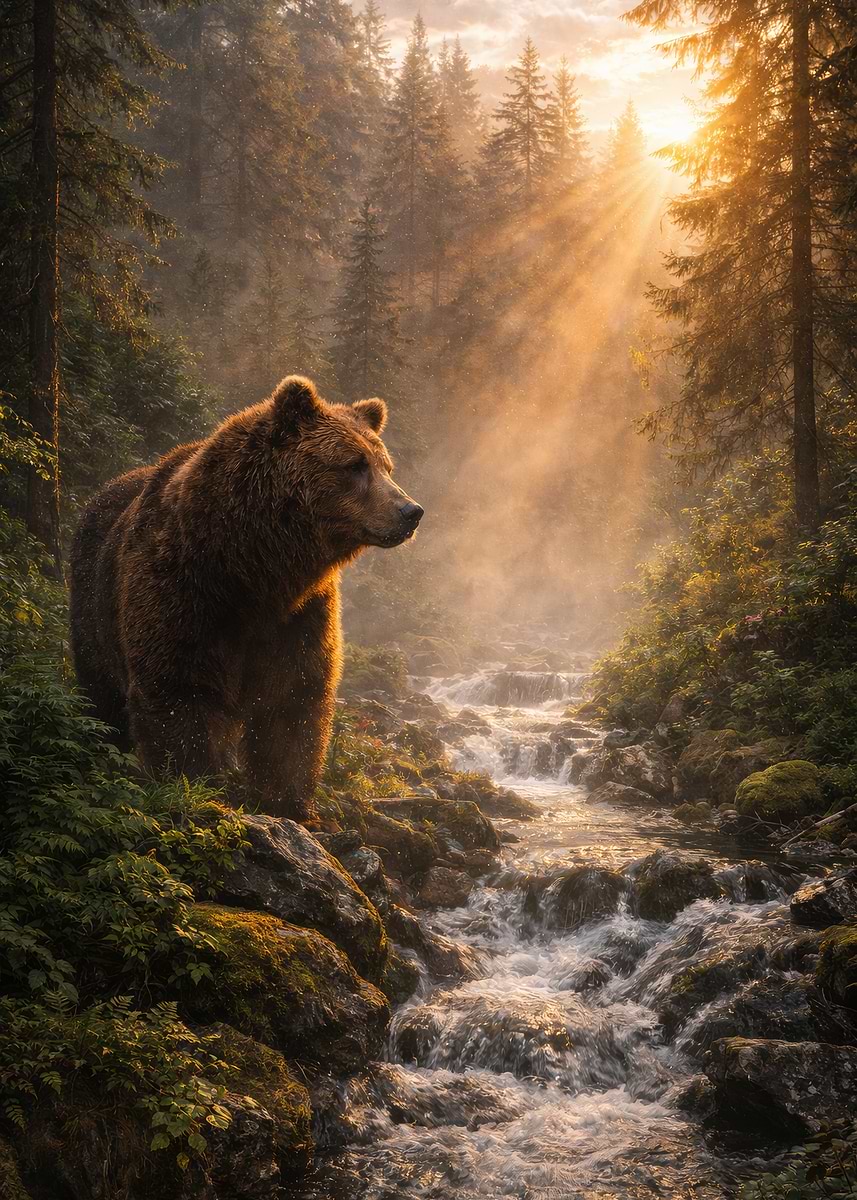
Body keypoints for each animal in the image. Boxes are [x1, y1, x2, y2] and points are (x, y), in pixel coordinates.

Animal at [69, 376, 423, 820]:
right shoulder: (183, 592)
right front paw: (197, 785)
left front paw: (287, 800)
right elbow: (179, 687)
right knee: (100, 693)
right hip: (93, 605)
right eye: (354, 464)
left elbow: (291, 698)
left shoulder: (300, 615)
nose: (410, 510)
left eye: (385, 466)